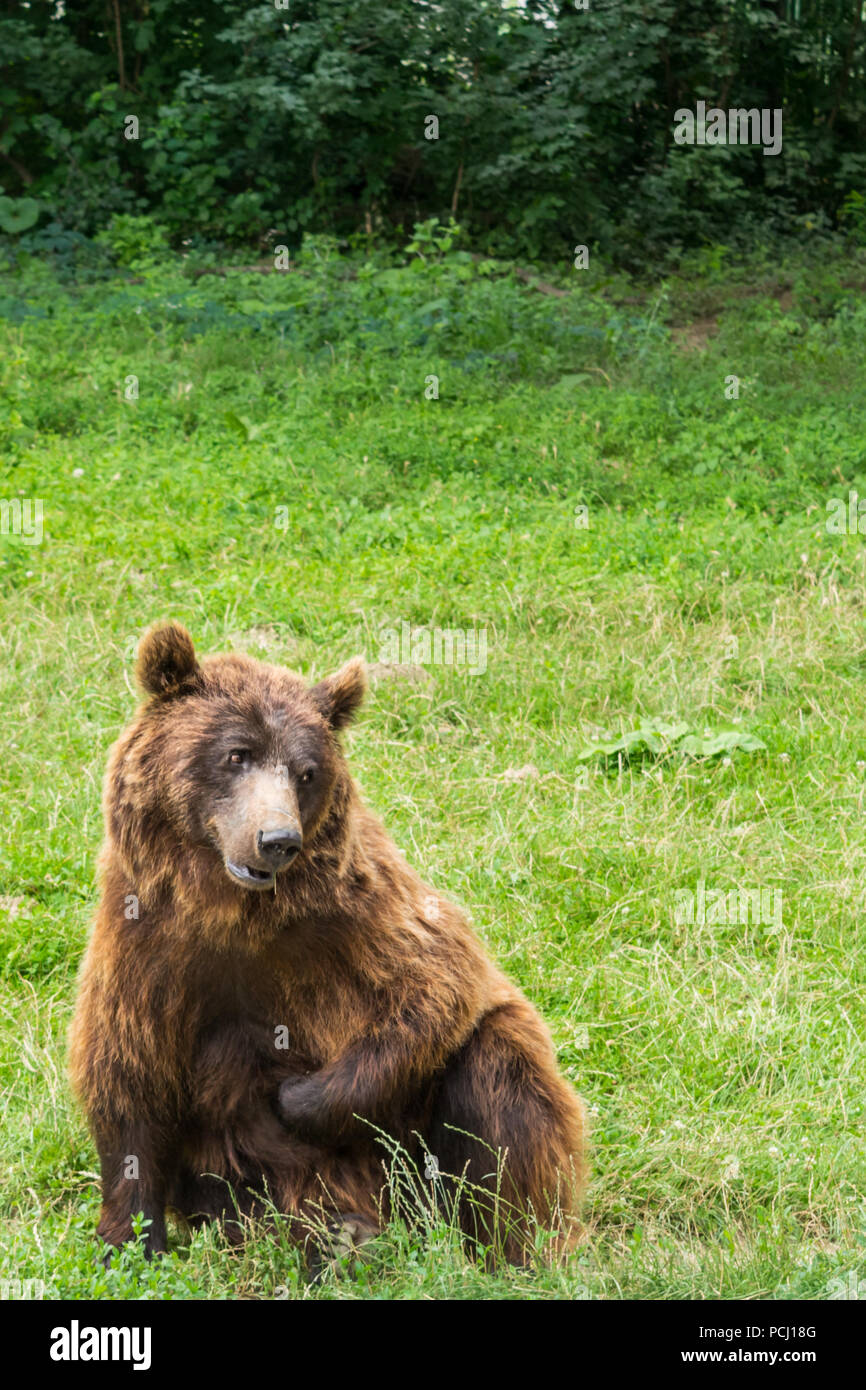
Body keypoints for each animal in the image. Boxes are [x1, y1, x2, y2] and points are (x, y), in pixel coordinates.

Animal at [68, 622, 586, 1266]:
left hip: (411, 1162)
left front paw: (290, 1096)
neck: (229, 909)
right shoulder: (146, 937)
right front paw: (130, 1241)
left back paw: (509, 1246)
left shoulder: (355, 910)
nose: (277, 839)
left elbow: (436, 987)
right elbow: (127, 1072)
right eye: (235, 754)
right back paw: (342, 1236)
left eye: (305, 771)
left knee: (501, 1073)